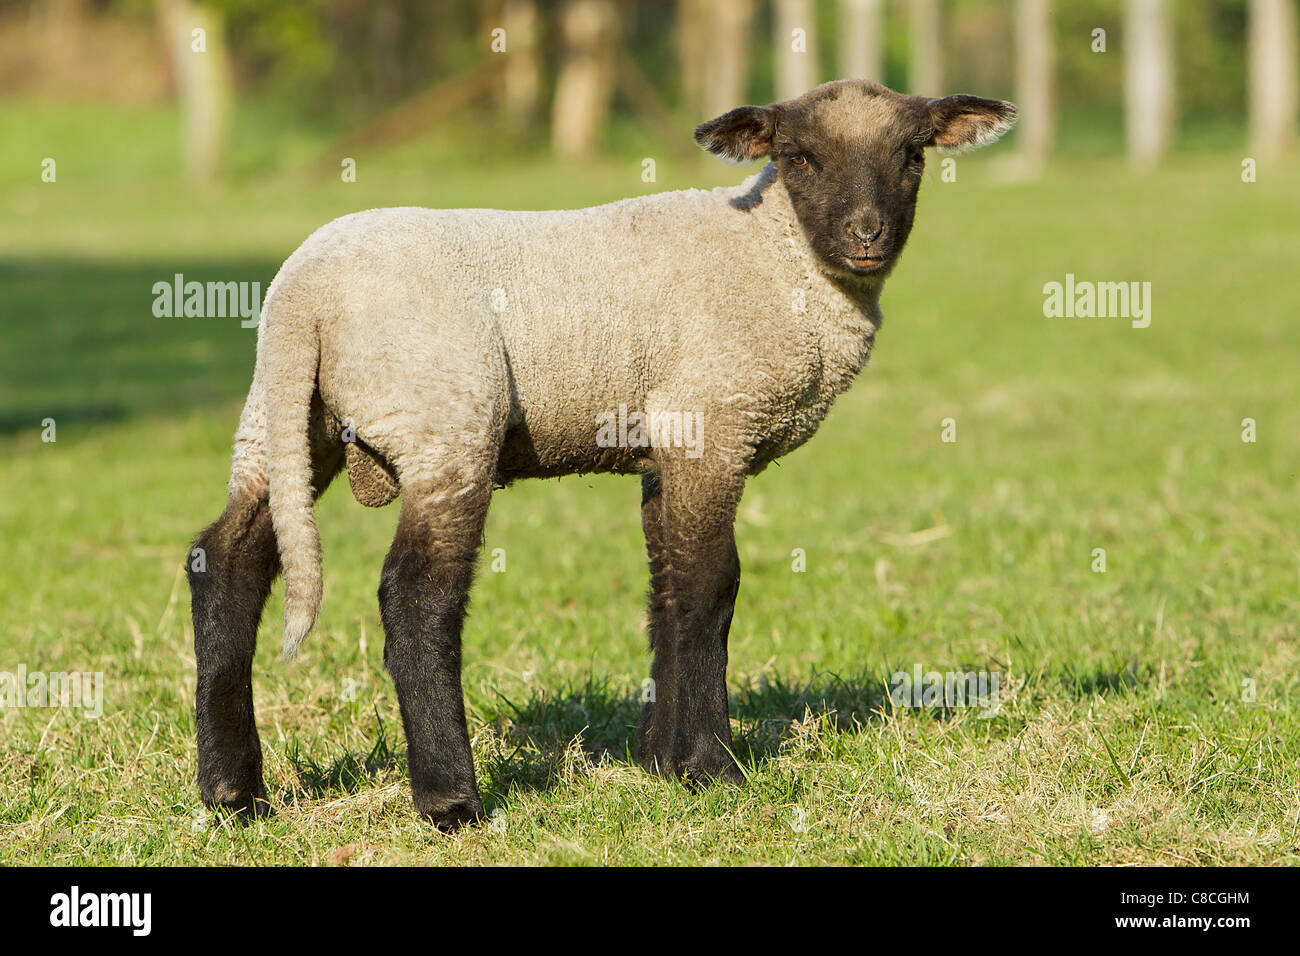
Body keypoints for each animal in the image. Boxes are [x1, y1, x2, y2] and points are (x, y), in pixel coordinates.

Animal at [187, 80, 1016, 829]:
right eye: (799, 157)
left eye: (912, 154)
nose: (866, 235)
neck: (778, 255)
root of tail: (304, 297)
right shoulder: (710, 426)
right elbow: (712, 588)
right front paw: (713, 768)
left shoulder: (665, 447)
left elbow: (667, 590)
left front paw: (662, 760)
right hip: (443, 418)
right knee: (416, 595)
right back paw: (451, 800)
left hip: (287, 421)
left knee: (225, 561)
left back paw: (234, 795)